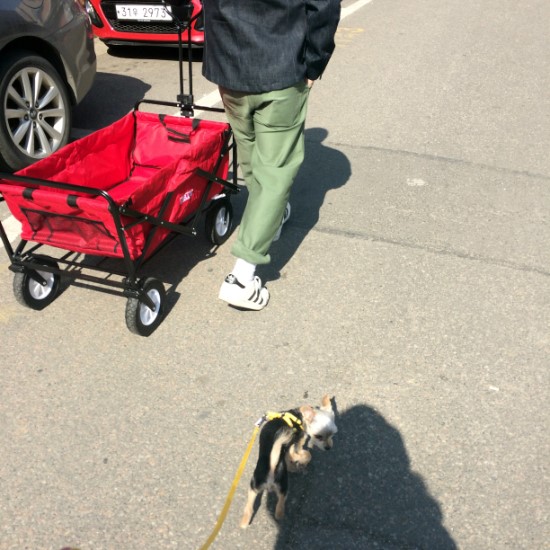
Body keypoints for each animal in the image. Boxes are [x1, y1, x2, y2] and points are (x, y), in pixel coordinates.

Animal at [240, 394, 337, 528]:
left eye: (332, 434)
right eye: (319, 436)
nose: (328, 448)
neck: (299, 416)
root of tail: (271, 466)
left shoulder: (287, 450)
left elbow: (289, 459)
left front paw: (292, 467)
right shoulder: (298, 441)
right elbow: (306, 455)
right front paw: (302, 461)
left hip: (254, 485)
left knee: (249, 506)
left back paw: (244, 523)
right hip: (283, 486)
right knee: (279, 508)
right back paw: (280, 516)